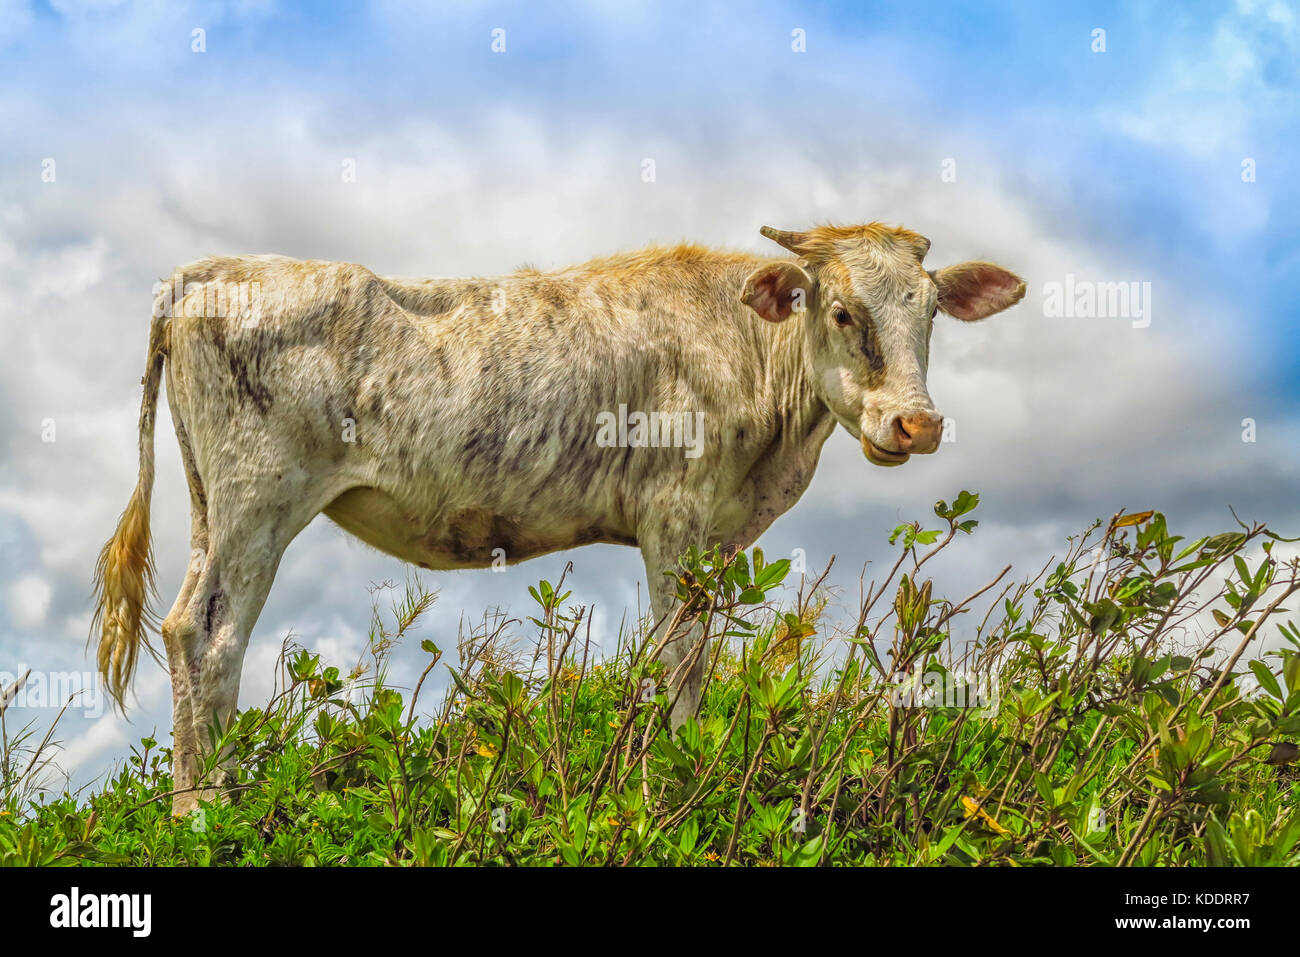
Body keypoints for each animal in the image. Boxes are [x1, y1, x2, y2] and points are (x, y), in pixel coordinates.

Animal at [91, 222, 1025, 814]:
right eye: (841, 310)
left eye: (931, 310)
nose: (917, 423)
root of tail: (202, 273)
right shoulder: (674, 516)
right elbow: (684, 657)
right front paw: (682, 781)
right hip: (259, 498)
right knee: (210, 636)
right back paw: (204, 818)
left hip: (212, 505)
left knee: (189, 630)